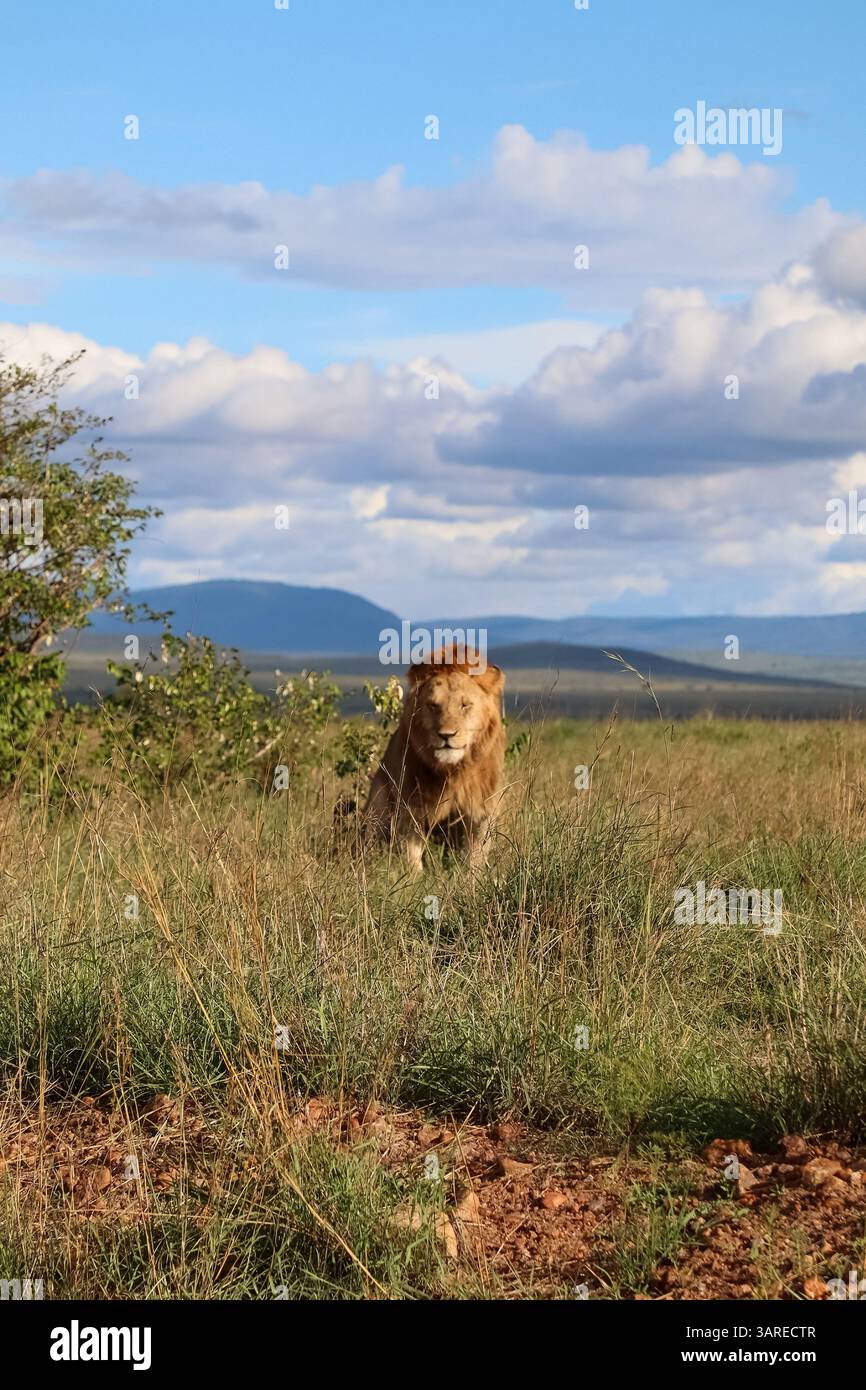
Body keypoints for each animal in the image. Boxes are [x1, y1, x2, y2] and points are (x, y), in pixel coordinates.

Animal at [361, 649, 506, 873]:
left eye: (465, 705)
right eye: (433, 705)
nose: (446, 735)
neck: (453, 770)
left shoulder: (482, 810)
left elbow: (474, 858)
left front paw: (471, 879)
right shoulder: (410, 808)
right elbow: (411, 856)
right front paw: (412, 880)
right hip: (377, 804)